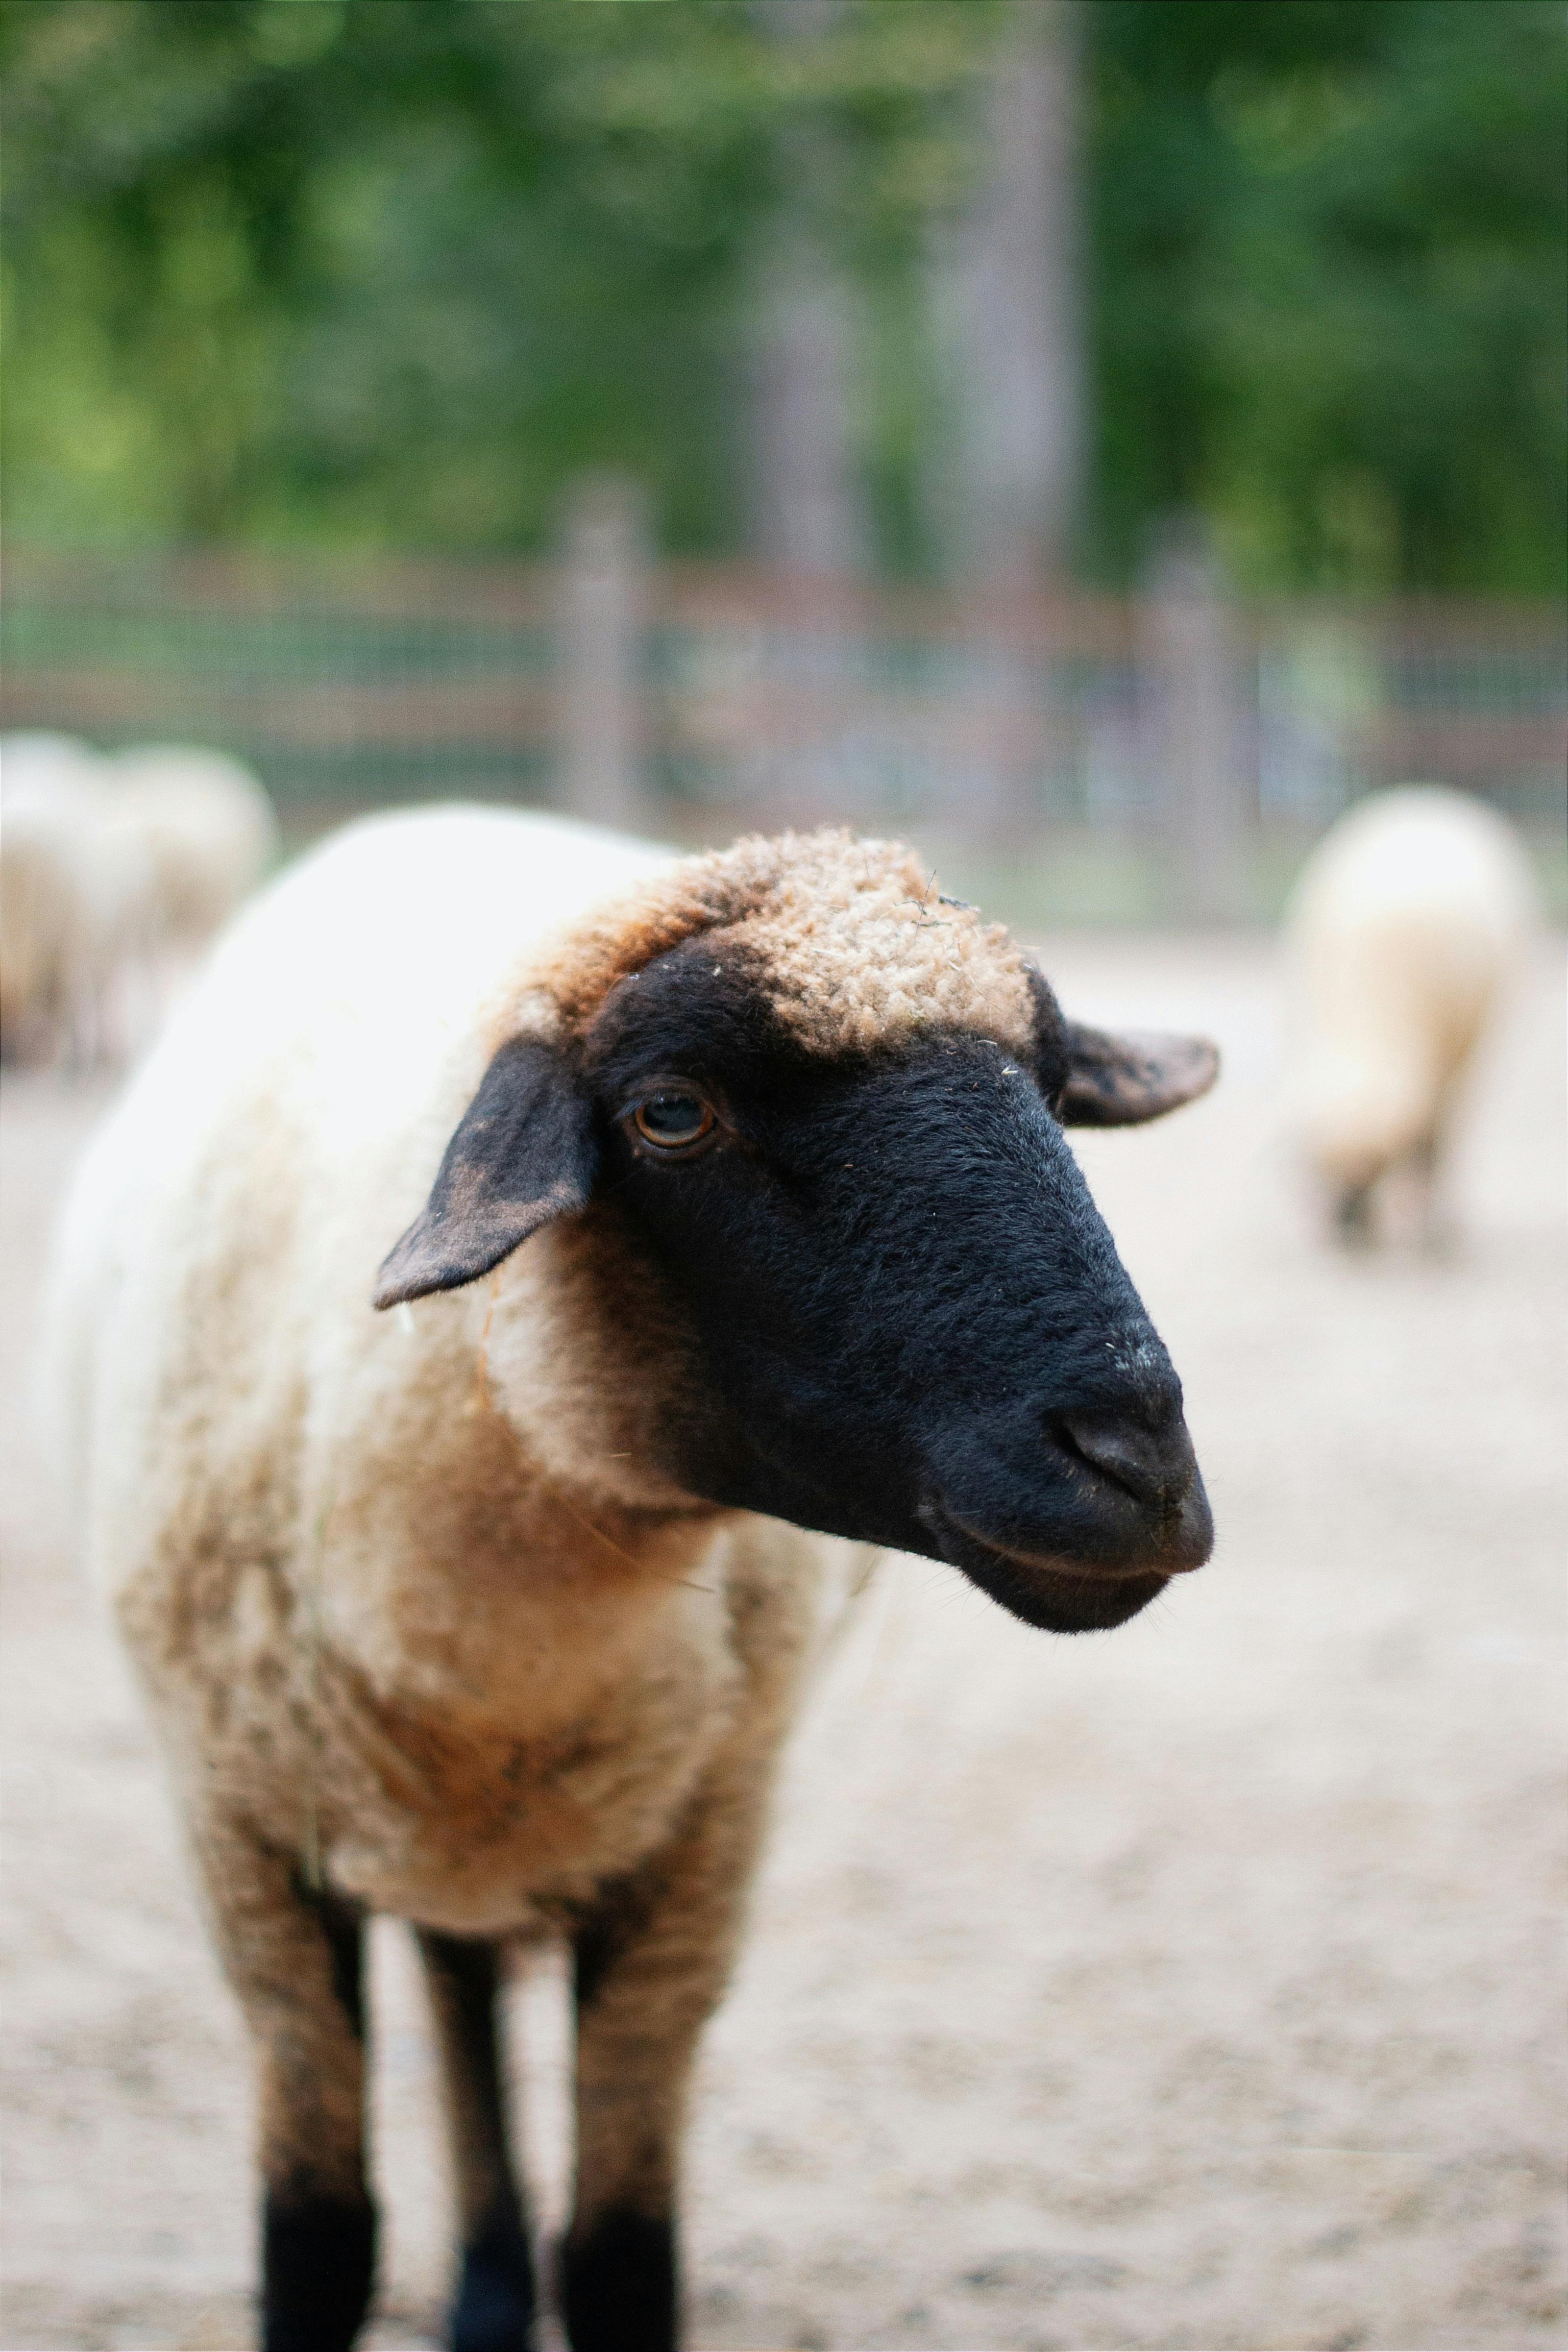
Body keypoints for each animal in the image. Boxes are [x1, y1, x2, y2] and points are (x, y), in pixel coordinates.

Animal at [48, 806, 1220, 2352]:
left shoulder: (699, 1845)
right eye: (671, 1114)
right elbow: (316, 2243)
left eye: (1048, 1080)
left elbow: (618, 2261)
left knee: (464, 1984)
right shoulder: (241, 1835)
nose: (1137, 1463)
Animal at [1283, 784, 1539, 1244]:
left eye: (1375, 1168)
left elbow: (1431, 1138)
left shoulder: (1447, 1062)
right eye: (1318, 1170)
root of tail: (1430, 795)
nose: (1345, 1226)